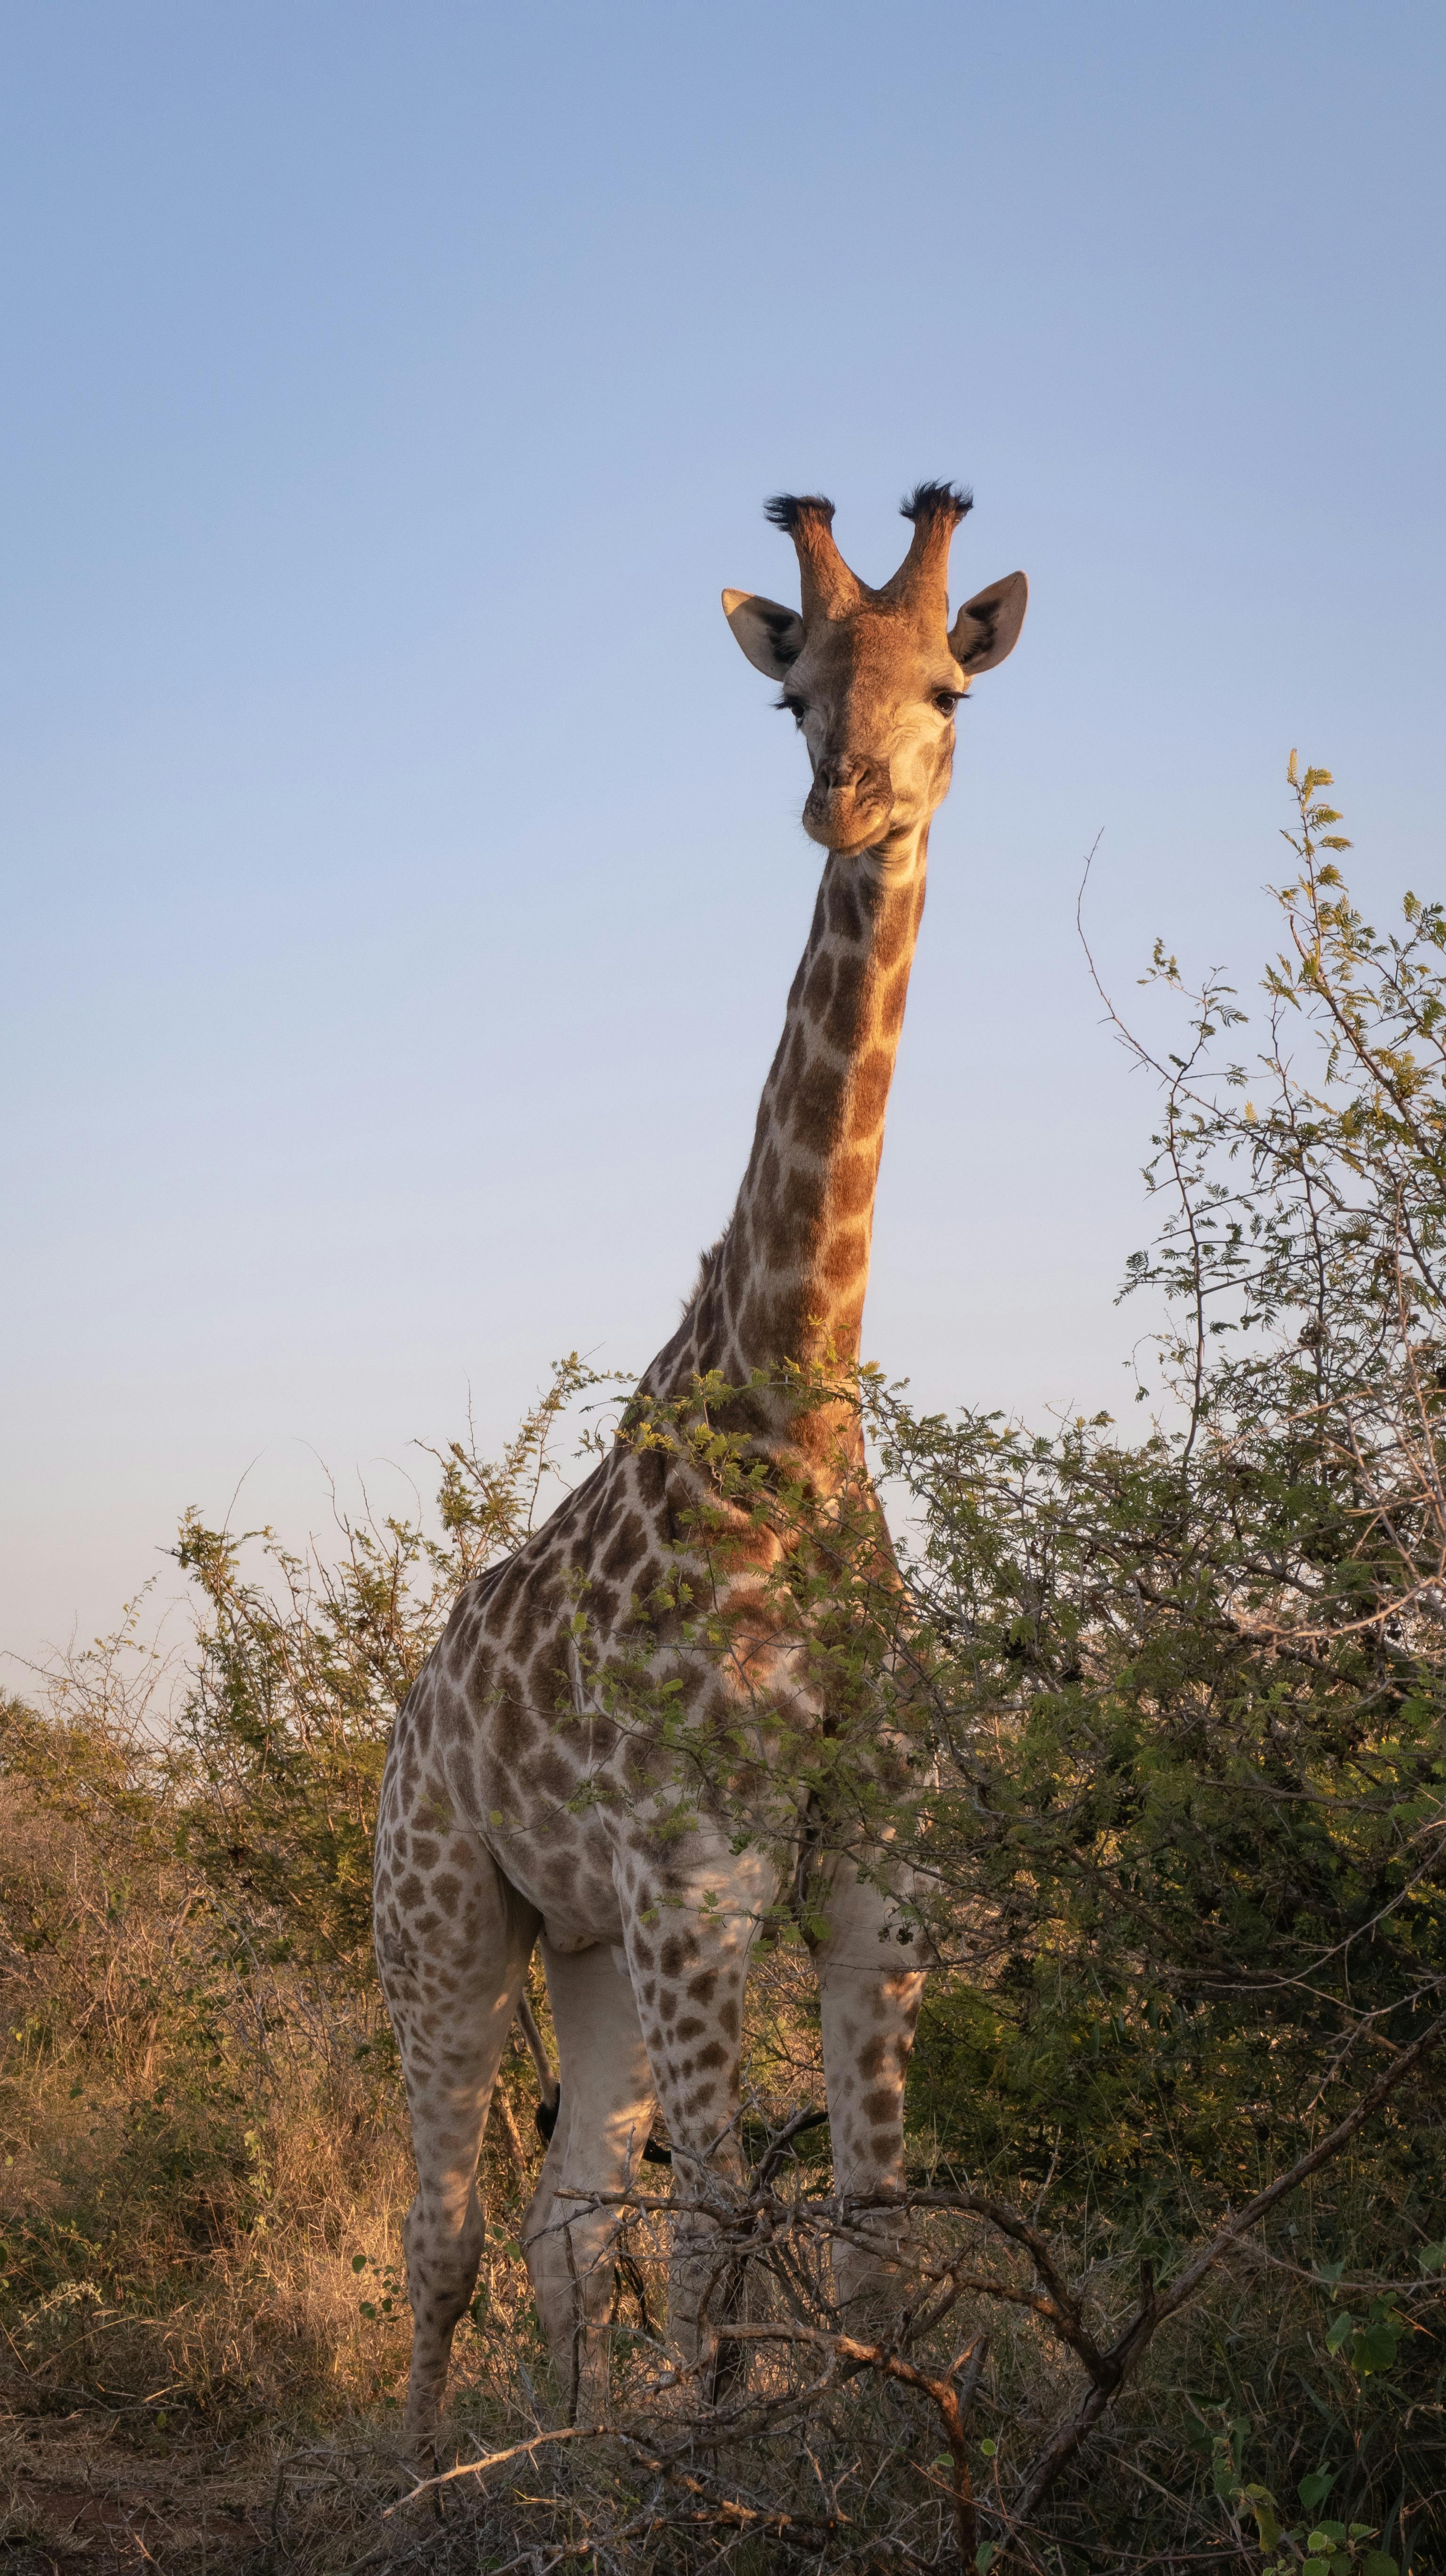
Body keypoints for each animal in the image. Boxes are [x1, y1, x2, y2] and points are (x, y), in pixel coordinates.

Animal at [373, 482, 1027, 2450]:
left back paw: (564, 2465)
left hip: (581, 1941)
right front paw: (728, 2463)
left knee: (568, 2213)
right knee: (445, 2222)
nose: (850, 799)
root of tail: (408, 1709)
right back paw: (414, 2472)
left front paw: (876, 2460)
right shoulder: (701, 1888)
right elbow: (728, 2228)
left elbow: (869, 2216)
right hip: (442, 1915)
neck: (792, 1428)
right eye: (790, 695)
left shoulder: (875, 1885)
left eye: (951, 685)